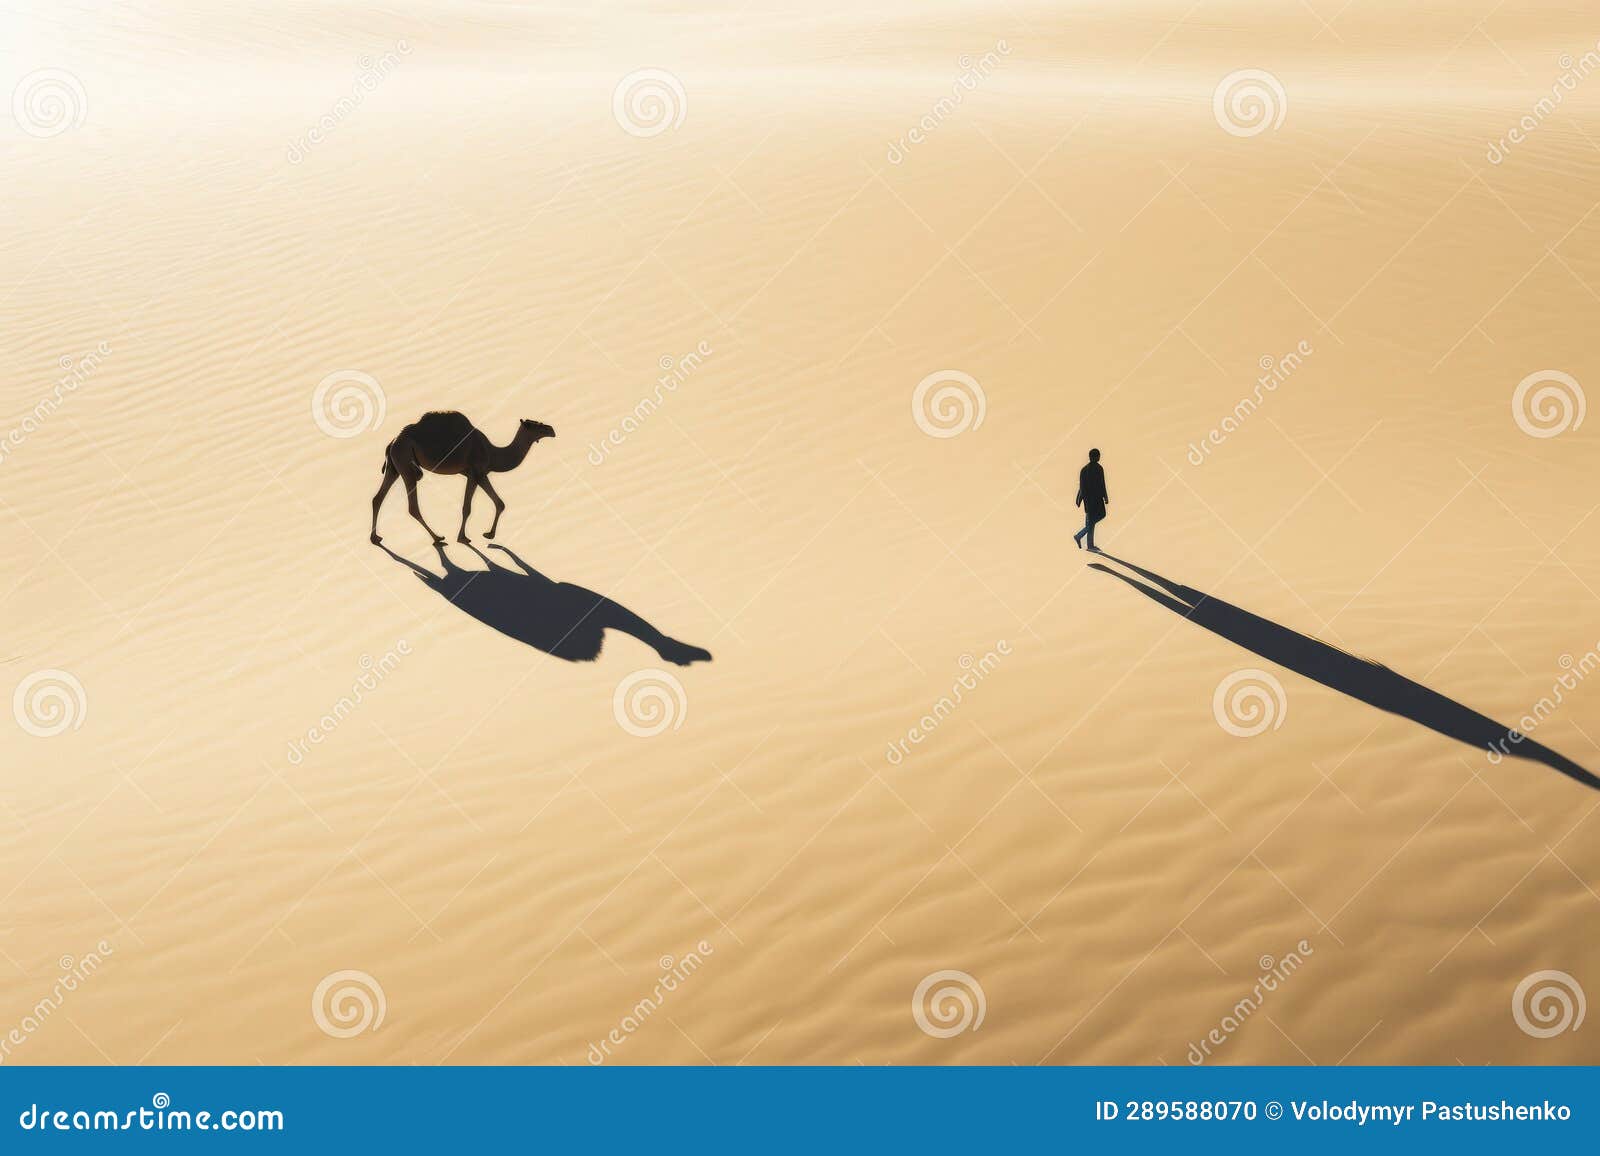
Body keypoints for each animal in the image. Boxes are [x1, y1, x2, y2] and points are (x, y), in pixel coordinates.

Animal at [371, 411, 554, 545]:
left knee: (377, 498)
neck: (492, 453)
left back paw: (375, 538)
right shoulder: (476, 472)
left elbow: (497, 503)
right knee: (412, 507)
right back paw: (437, 538)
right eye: (534, 425)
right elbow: (470, 507)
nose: (551, 429)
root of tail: (393, 440)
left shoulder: (478, 474)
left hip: (395, 465)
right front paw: (464, 538)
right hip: (405, 461)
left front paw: (488, 534)